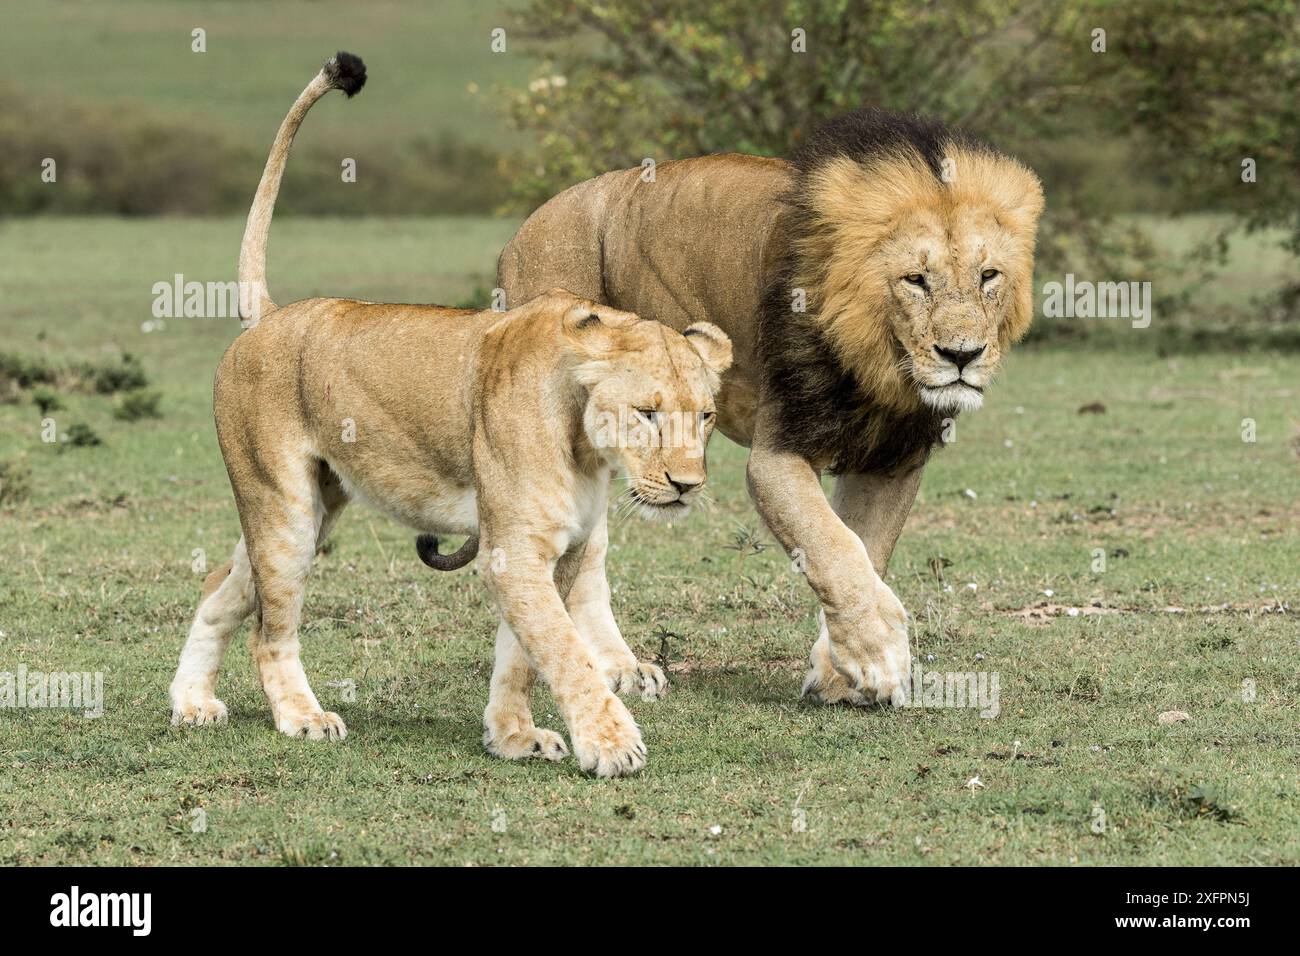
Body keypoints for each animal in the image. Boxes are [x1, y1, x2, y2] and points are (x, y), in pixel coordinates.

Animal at [167, 53, 732, 778]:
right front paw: (612, 746)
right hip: (285, 508)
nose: (688, 485)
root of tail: (271, 316)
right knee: (269, 630)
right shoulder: (515, 549)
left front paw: (514, 738)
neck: (586, 443)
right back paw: (303, 718)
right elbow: (564, 652)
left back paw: (191, 703)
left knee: (223, 586)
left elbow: (521, 655)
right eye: (648, 413)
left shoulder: (557, 549)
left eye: (707, 416)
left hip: (311, 506)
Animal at [499, 109, 1044, 708]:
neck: (881, 368)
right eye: (915, 280)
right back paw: (618, 668)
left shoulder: (891, 463)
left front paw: (838, 672)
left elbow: (864, 549)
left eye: (988, 276)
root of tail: (527, 228)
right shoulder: (776, 455)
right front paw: (879, 653)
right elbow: (832, 546)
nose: (962, 356)